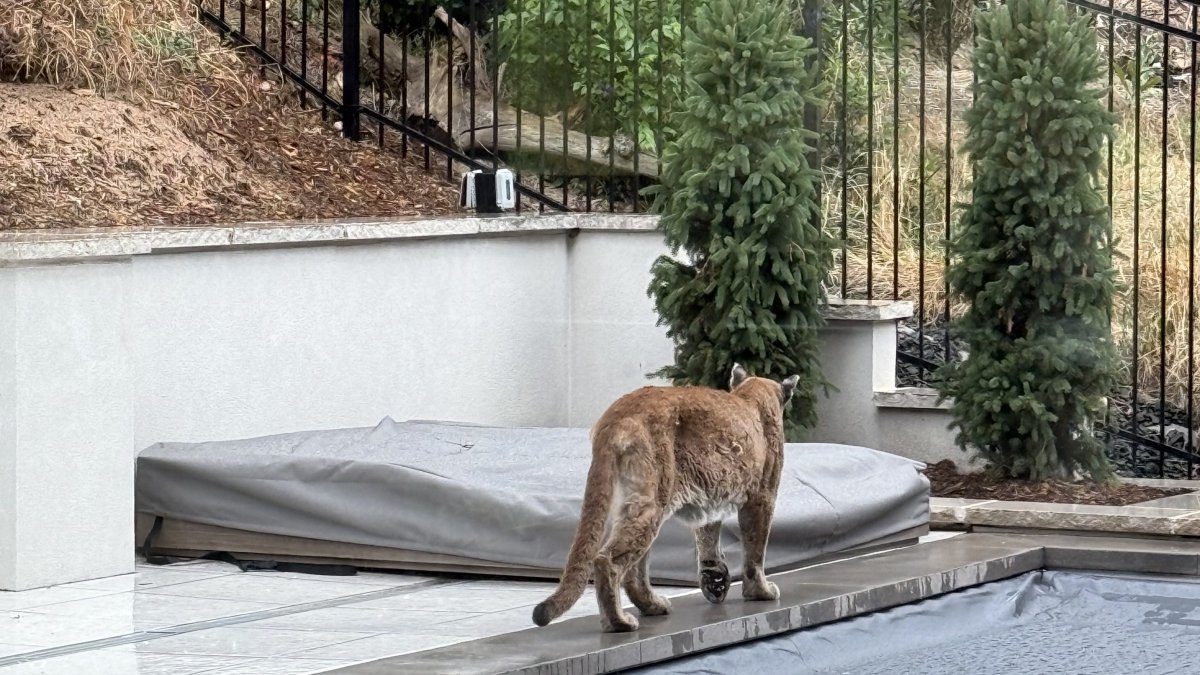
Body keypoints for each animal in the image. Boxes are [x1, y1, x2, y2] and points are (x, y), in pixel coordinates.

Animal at [531, 363, 798, 632]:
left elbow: (707, 535)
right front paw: (761, 591)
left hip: (634, 501)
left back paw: (652, 606)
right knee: (608, 561)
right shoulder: (763, 496)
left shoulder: (710, 495)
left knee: (634, 570)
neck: (752, 393)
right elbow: (755, 548)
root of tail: (617, 414)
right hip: (654, 502)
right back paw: (619, 622)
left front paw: (715, 579)